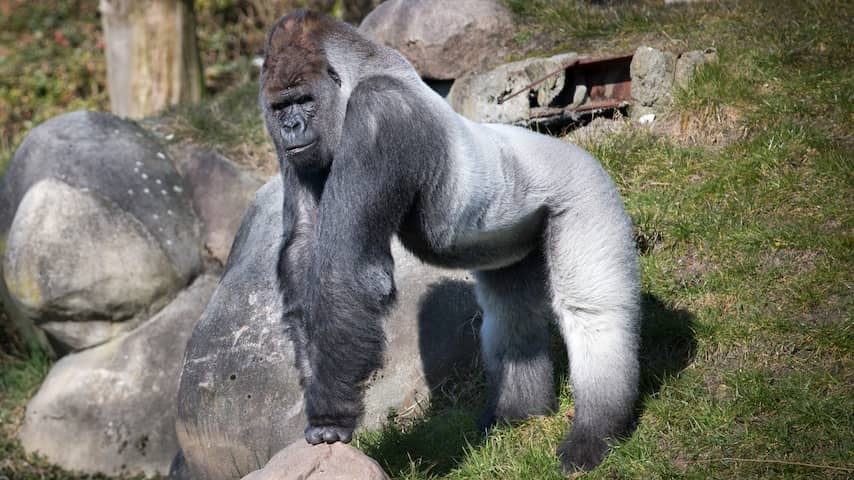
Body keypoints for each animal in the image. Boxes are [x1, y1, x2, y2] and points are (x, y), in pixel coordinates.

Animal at [259, 10, 640, 472]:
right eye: (280, 108)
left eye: (303, 101)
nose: (291, 126)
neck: (359, 72)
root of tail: (582, 152)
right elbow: (302, 249)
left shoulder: (379, 113)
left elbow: (349, 271)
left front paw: (330, 415)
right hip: (514, 238)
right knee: (509, 310)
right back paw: (518, 413)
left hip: (587, 191)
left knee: (592, 312)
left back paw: (594, 433)